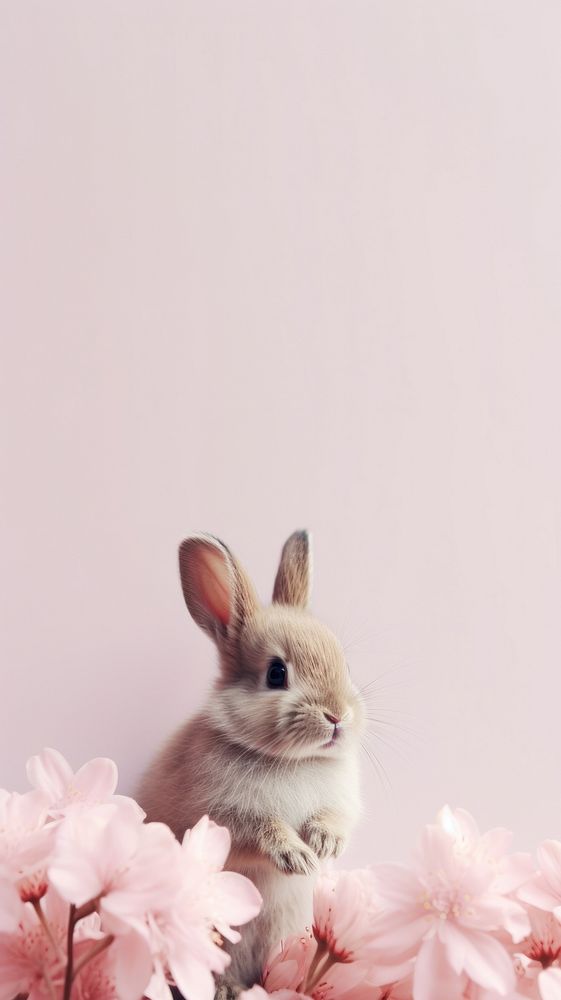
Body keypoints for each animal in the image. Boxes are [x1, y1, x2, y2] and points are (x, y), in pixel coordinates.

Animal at [138, 530, 365, 994]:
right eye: (276, 674)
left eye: (345, 664)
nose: (338, 715)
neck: (296, 760)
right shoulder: (227, 816)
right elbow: (262, 832)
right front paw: (298, 857)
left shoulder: (341, 805)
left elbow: (335, 819)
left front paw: (324, 845)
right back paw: (227, 989)